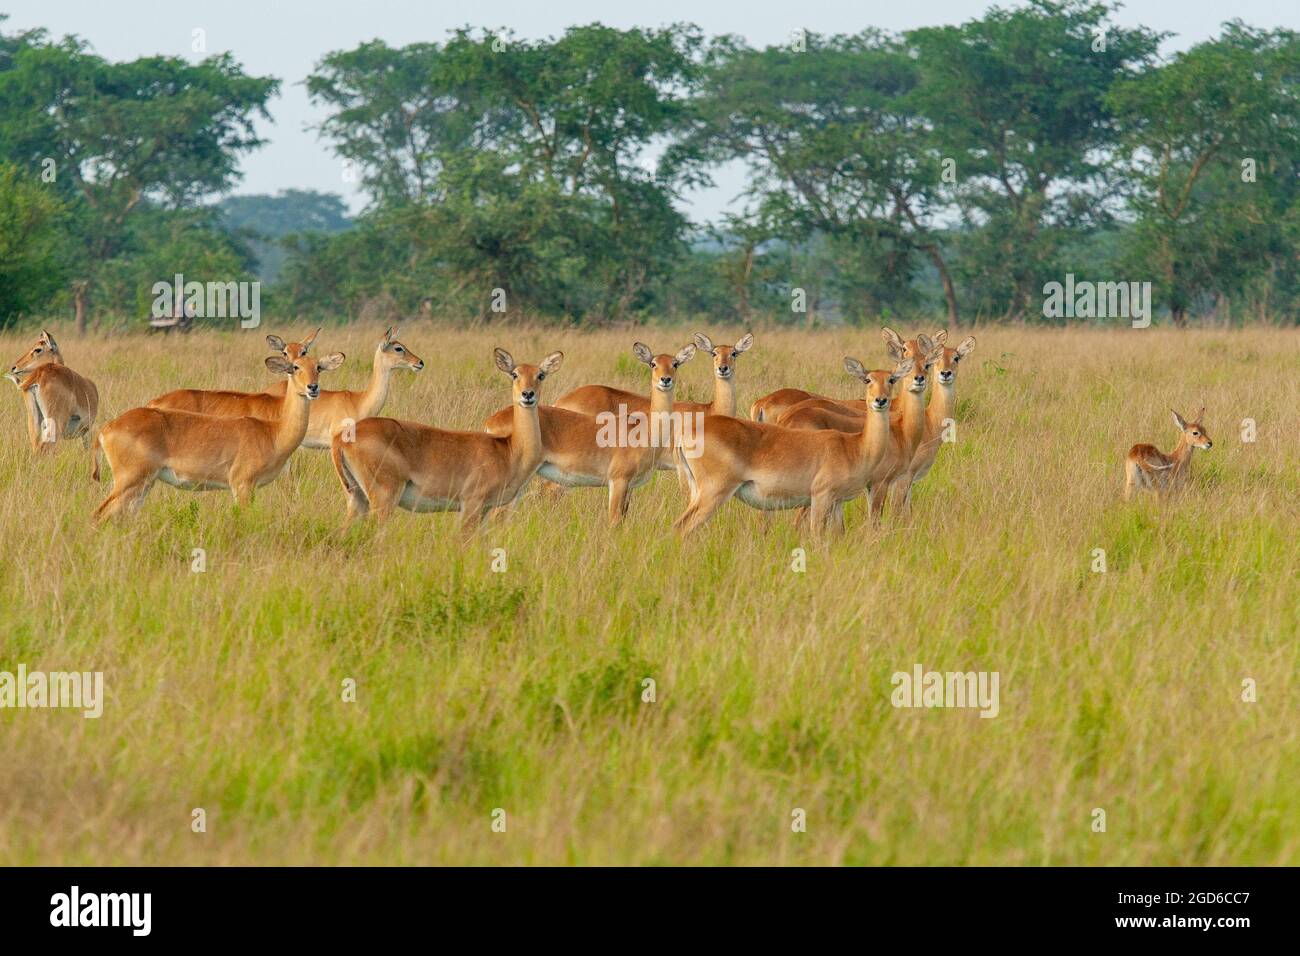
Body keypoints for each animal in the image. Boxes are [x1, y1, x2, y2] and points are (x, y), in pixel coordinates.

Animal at [90, 351, 344, 523]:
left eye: (318, 366)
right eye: (295, 366)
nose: (312, 387)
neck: (273, 432)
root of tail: (106, 428)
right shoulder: (242, 485)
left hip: (144, 485)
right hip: (129, 480)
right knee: (98, 514)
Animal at [331, 348, 561, 530]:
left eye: (540, 375)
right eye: (514, 374)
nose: (527, 395)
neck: (510, 450)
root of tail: (341, 439)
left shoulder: (485, 510)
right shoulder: (471, 506)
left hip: (357, 498)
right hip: (383, 499)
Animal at [482, 343, 693, 524]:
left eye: (675, 363)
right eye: (653, 363)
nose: (665, 379)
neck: (645, 430)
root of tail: (490, 421)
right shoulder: (618, 481)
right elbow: (614, 521)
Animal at [672, 356, 913, 538]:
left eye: (891, 379)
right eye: (867, 379)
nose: (880, 400)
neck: (855, 446)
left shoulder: (837, 503)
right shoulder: (821, 497)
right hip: (714, 492)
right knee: (682, 527)